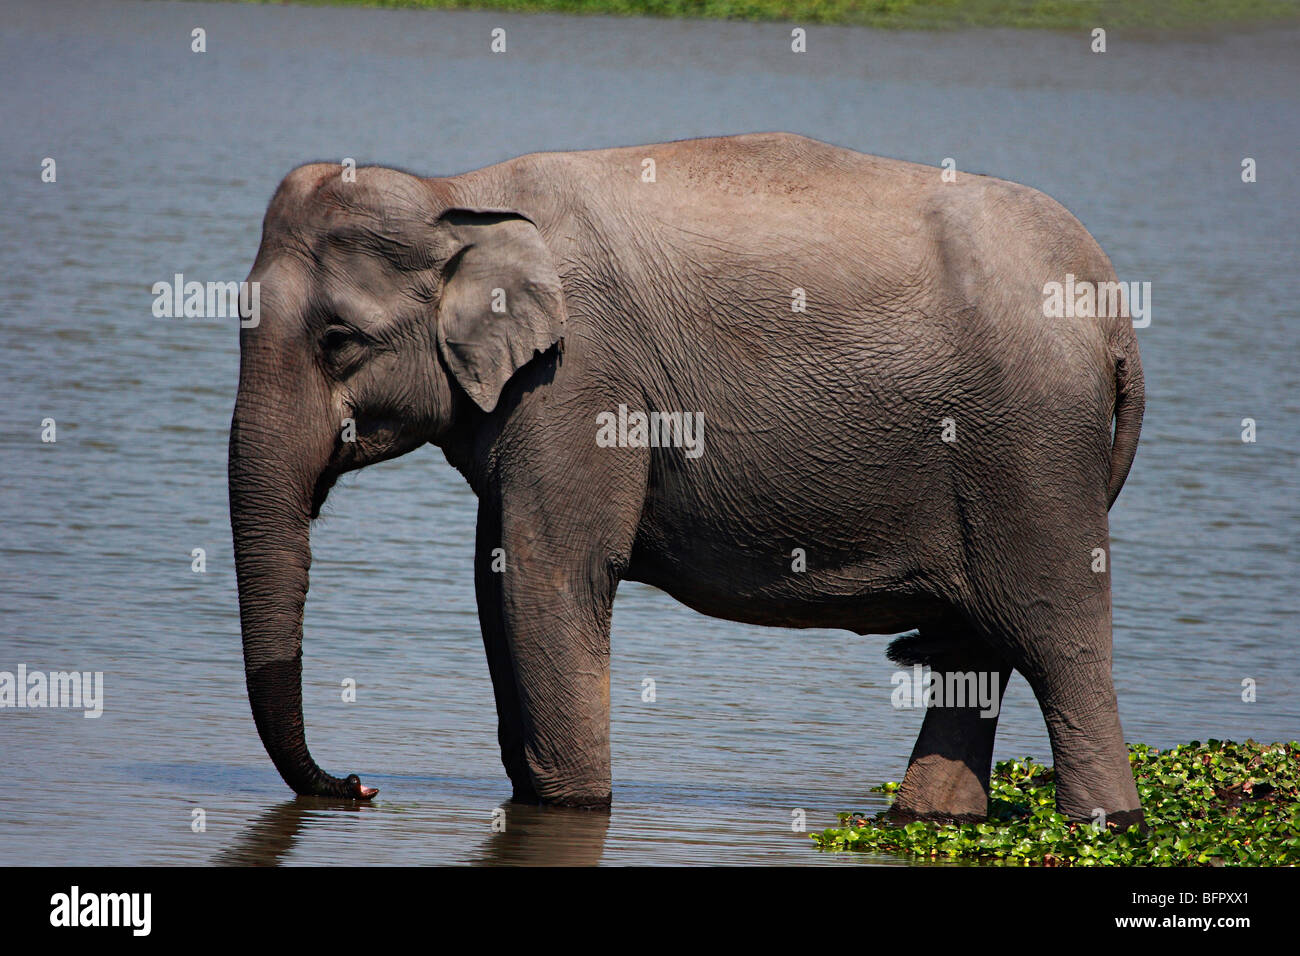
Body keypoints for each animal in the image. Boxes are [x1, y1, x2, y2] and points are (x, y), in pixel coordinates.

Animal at [229, 132, 1146, 830]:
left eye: (340, 341)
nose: (360, 785)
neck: (454, 193)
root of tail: (1113, 310)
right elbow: (497, 579)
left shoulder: (583, 381)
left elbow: (548, 577)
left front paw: (575, 807)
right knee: (976, 646)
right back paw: (930, 818)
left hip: (1034, 449)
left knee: (1056, 638)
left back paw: (1106, 823)